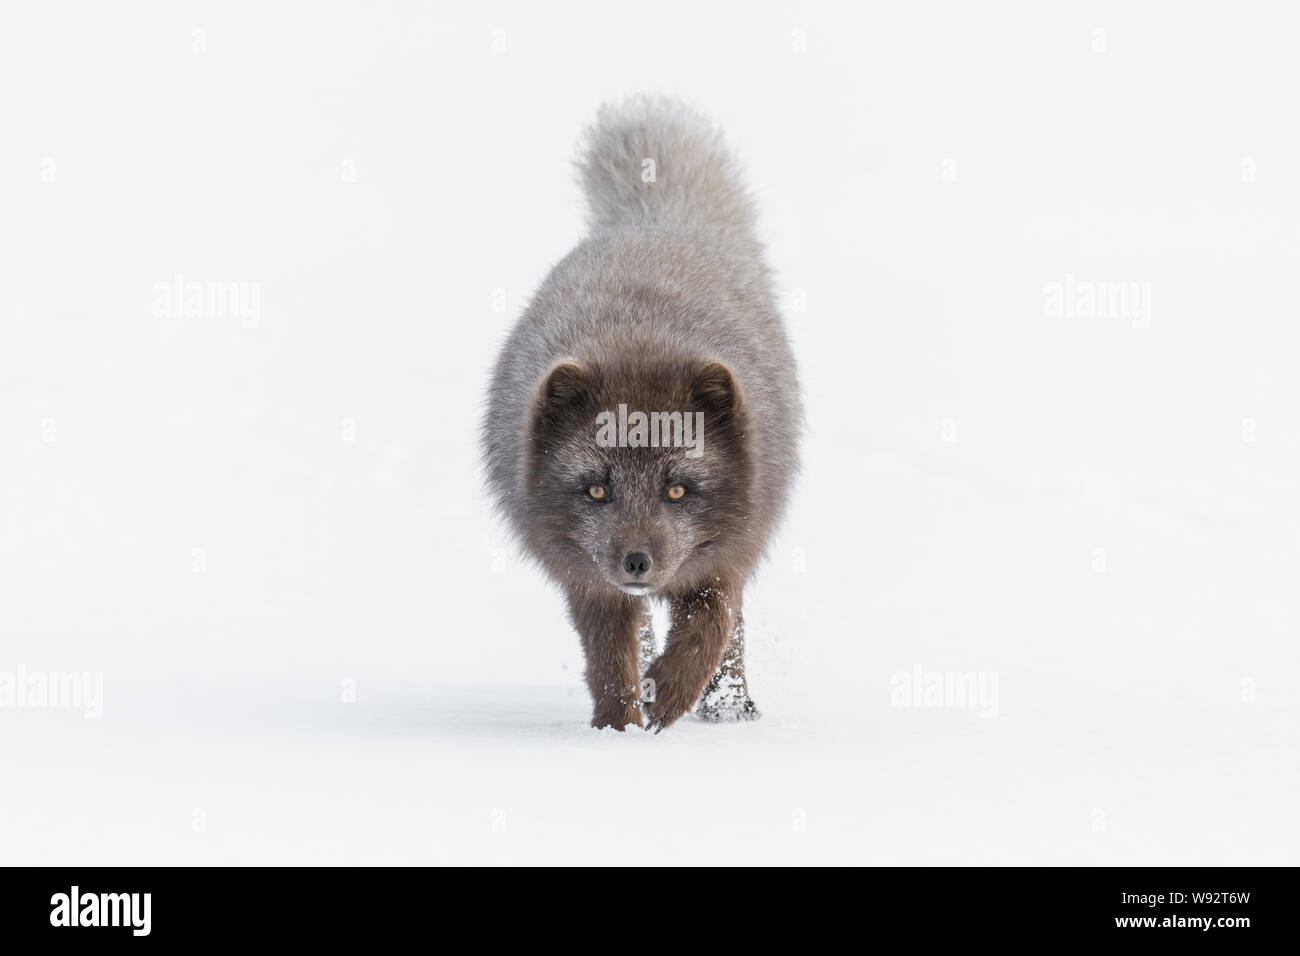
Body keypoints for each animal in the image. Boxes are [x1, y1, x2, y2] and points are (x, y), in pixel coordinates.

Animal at [482, 95, 800, 732]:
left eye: (677, 490)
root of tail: (652, 222)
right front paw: (619, 726)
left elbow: (709, 630)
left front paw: (668, 697)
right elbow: (608, 656)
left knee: (729, 632)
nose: (636, 562)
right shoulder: (585, 578)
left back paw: (731, 706)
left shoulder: (727, 556)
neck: (639, 336)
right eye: (596, 490)